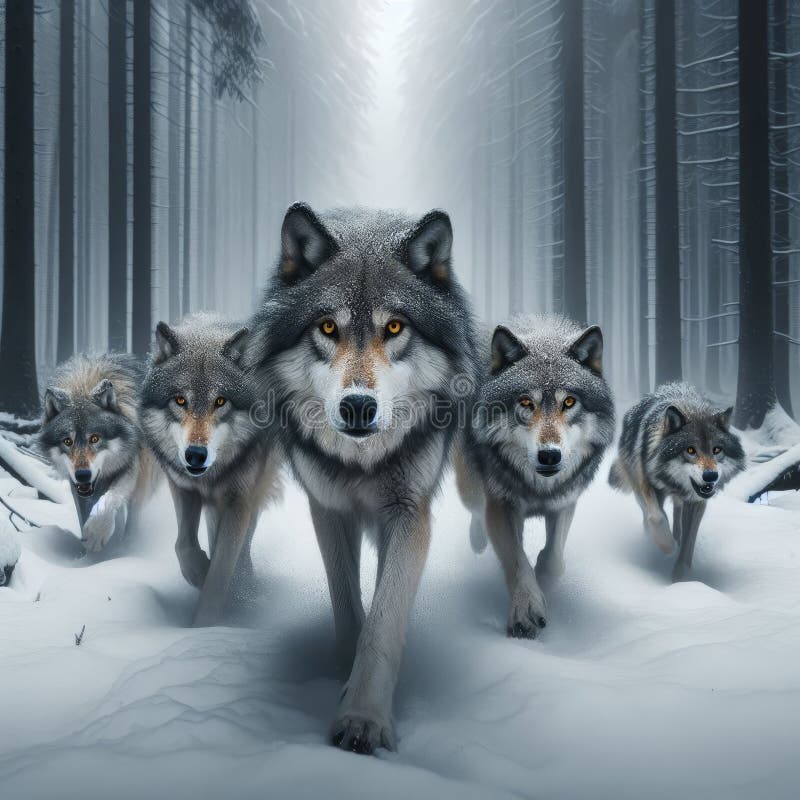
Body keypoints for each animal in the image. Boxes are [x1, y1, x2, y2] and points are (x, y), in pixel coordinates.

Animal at [38, 353, 156, 552]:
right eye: (67, 441)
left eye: (94, 438)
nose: (83, 475)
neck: (83, 386)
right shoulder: (76, 486)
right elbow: (83, 516)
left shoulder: (130, 465)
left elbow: (109, 500)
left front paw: (96, 535)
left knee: (133, 513)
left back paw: (128, 546)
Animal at [139, 313, 281, 626]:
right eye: (180, 400)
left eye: (220, 401)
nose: (195, 455)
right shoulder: (183, 488)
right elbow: (183, 544)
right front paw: (198, 573)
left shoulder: (240, 500)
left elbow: (221, 571)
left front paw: (204, 626)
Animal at [247, 203, 478, 754]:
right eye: (328, 327)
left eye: (394, 326)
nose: (358, 406)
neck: (362, 462)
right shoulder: (329, 509)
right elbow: (351, 610)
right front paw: (346, 686)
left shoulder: (409, 515)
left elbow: (383, 620)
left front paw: (364, 719)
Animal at [457, 314, 615, 638]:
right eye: (526, 403)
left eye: (569, 402)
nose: (549, 455)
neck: (539, 489)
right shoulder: (501, 505)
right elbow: (518, 561)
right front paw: (526, 610)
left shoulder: (565, 500)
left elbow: (554, 559)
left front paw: (544, 577)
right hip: (470, 488)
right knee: (476, 511)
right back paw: (478, 539)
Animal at [609, 382, 745, 582]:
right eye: (690, 450)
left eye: (716, 450)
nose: (710, 476)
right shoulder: (649, 487)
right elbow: (657, 518)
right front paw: (668, 547)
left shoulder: (696, 502)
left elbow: (689, 543)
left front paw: (681, 576)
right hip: (639, 490)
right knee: (649, 517)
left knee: (677, 516)